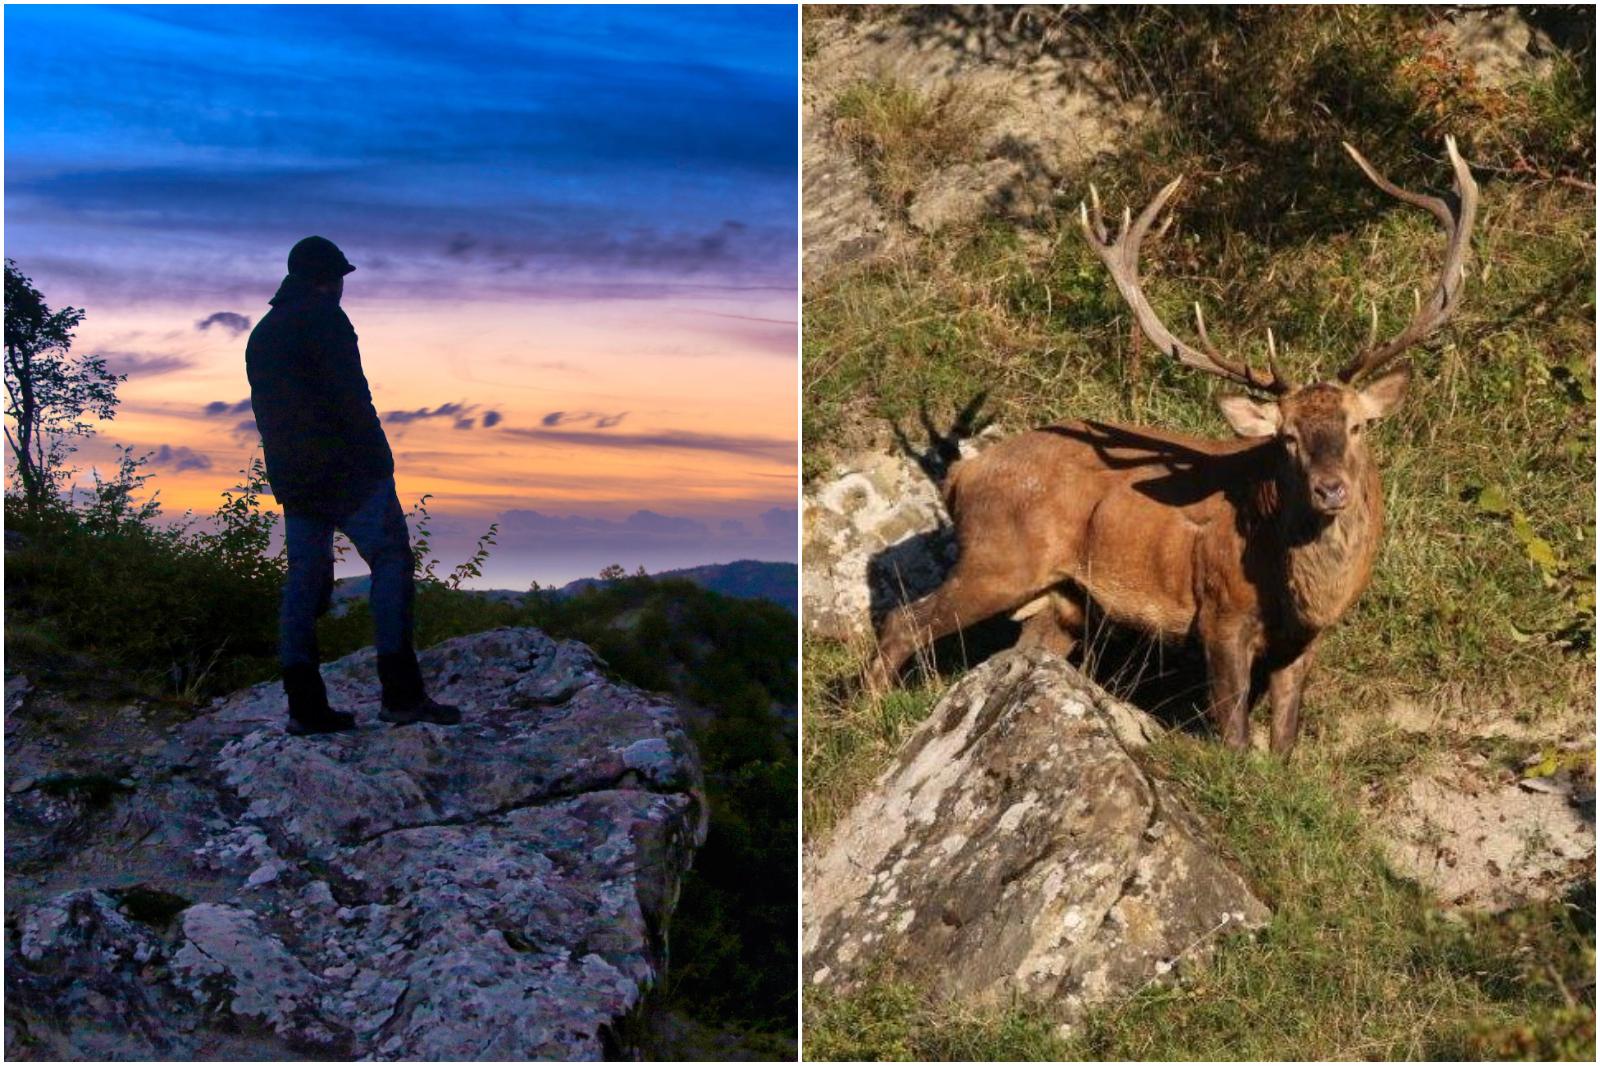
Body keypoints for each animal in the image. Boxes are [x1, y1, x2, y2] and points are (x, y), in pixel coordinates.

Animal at [865, 137, 1479, 755]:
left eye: (1356, 426)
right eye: (1286, 437)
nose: (1332, 490)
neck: (1302, 591)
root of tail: (960, 476)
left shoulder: (1305, 640)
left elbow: (1285, 741)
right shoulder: (1220, 613)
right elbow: (1233, 735)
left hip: (1064, 599)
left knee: (1022, 650)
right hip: (997, 557)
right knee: (901, 623)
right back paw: (874, 719)